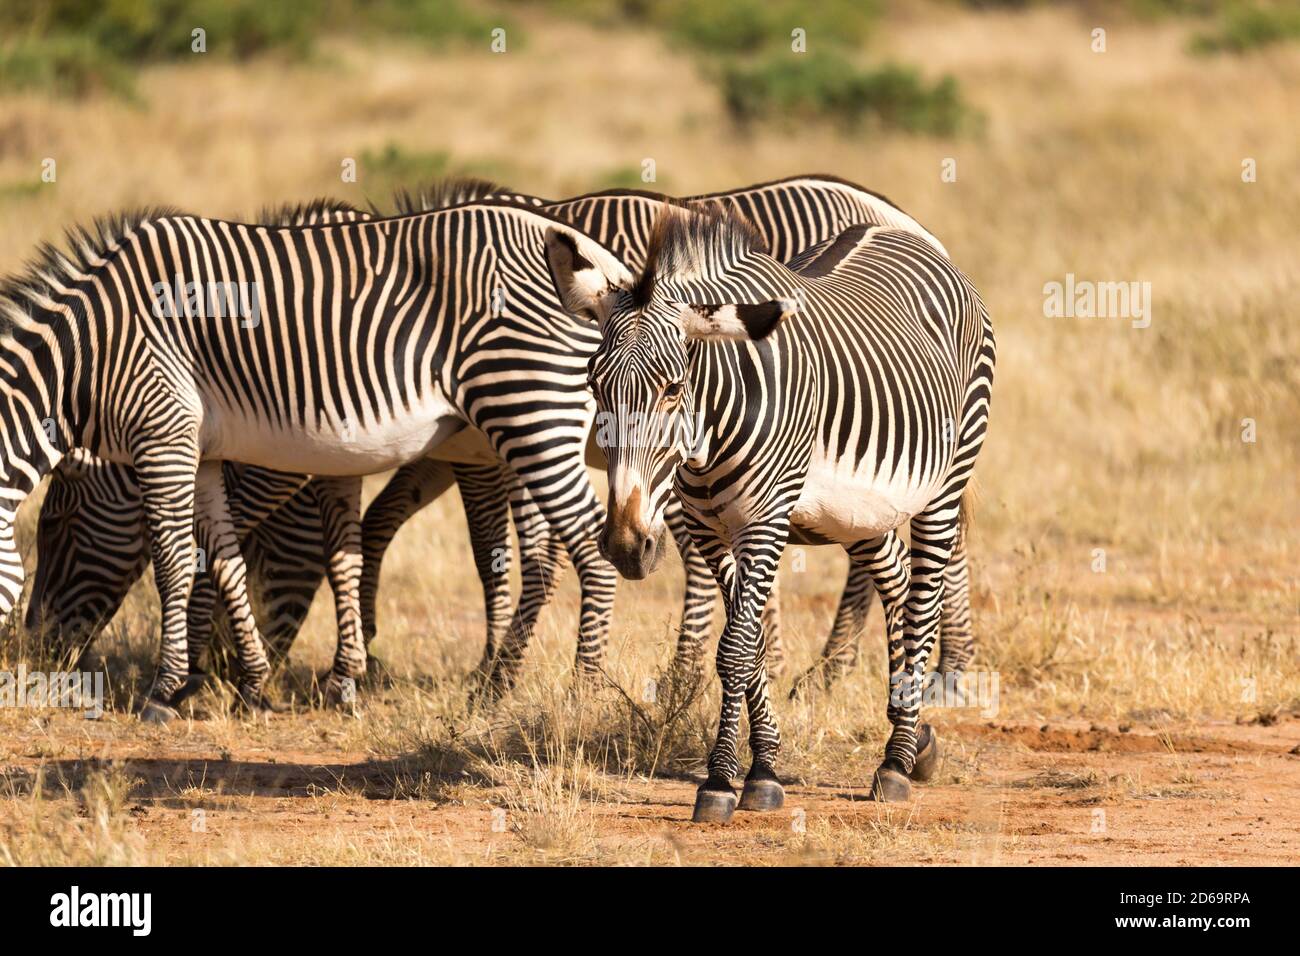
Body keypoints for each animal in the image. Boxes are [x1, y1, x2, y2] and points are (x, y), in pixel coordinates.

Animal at [0, 194, 646, 723]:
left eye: (54, 524)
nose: (34, 654)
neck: (90, 350)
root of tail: (592, 256)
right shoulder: (203, 453)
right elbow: (227, 559)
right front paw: (252, 684)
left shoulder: (164, 435)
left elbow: (175, 562)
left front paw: (166, 691)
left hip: (529, 407)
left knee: (594, 549)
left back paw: (581, 692)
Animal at [548, 208, 995, 818]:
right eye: (595, 385)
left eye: (673, 389)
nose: (625, 546)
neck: (708, 438)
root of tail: (907, 236)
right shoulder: (707, 529)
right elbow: (753, 644)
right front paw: (763, 770)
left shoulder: (763, 521)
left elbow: (736, 649)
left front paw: (720, 782)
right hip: (856, 512)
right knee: (897, 578)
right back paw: (918, 739)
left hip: (946, 480)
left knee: (924, 598)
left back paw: (897, 761)